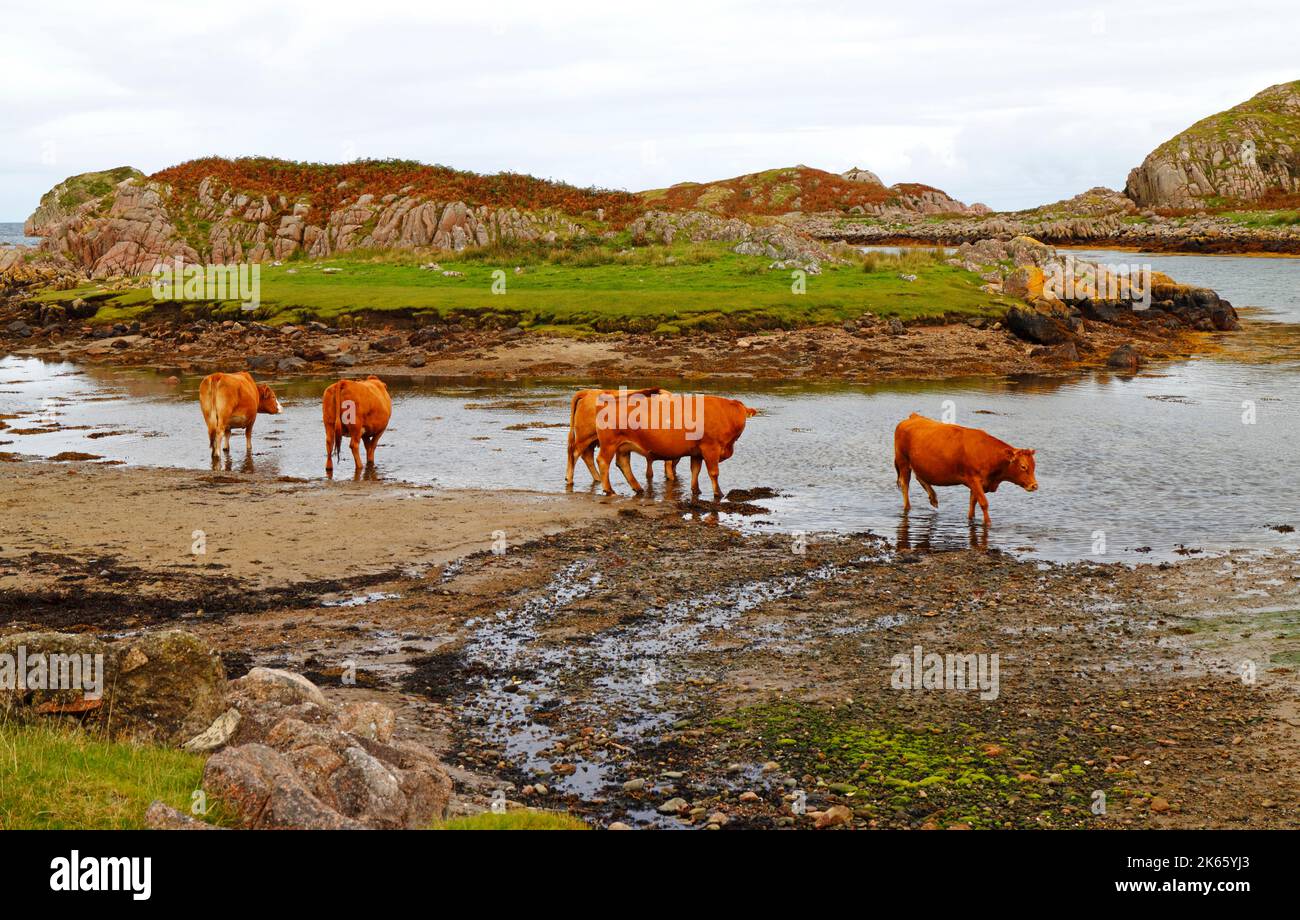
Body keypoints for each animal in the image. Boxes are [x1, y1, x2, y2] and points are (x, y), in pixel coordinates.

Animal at [594, 391, 757, 499]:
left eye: (743, 415)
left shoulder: (696, 452)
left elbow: (695, 470)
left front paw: (696, 490)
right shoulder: (711, 448)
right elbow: (713, 472)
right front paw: (718, 493)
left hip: (623, 446)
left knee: (623, 463)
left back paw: (638, 488)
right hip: (609, 444)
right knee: (603, 462)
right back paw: (609, 490)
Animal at [893, 412, 1037, 526]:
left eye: (1034, 466)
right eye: (1023, 466)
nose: (1034, 485)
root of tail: (913, 417)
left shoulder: (977, 483)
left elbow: (973, 502)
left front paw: (971, 518)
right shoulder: (974, 480)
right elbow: (983, 503)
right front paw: (988, 523)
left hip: (920, 464)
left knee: (919, 477)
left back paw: (933, 498)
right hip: (903, 462)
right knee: (905, 485)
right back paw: (908, 507)